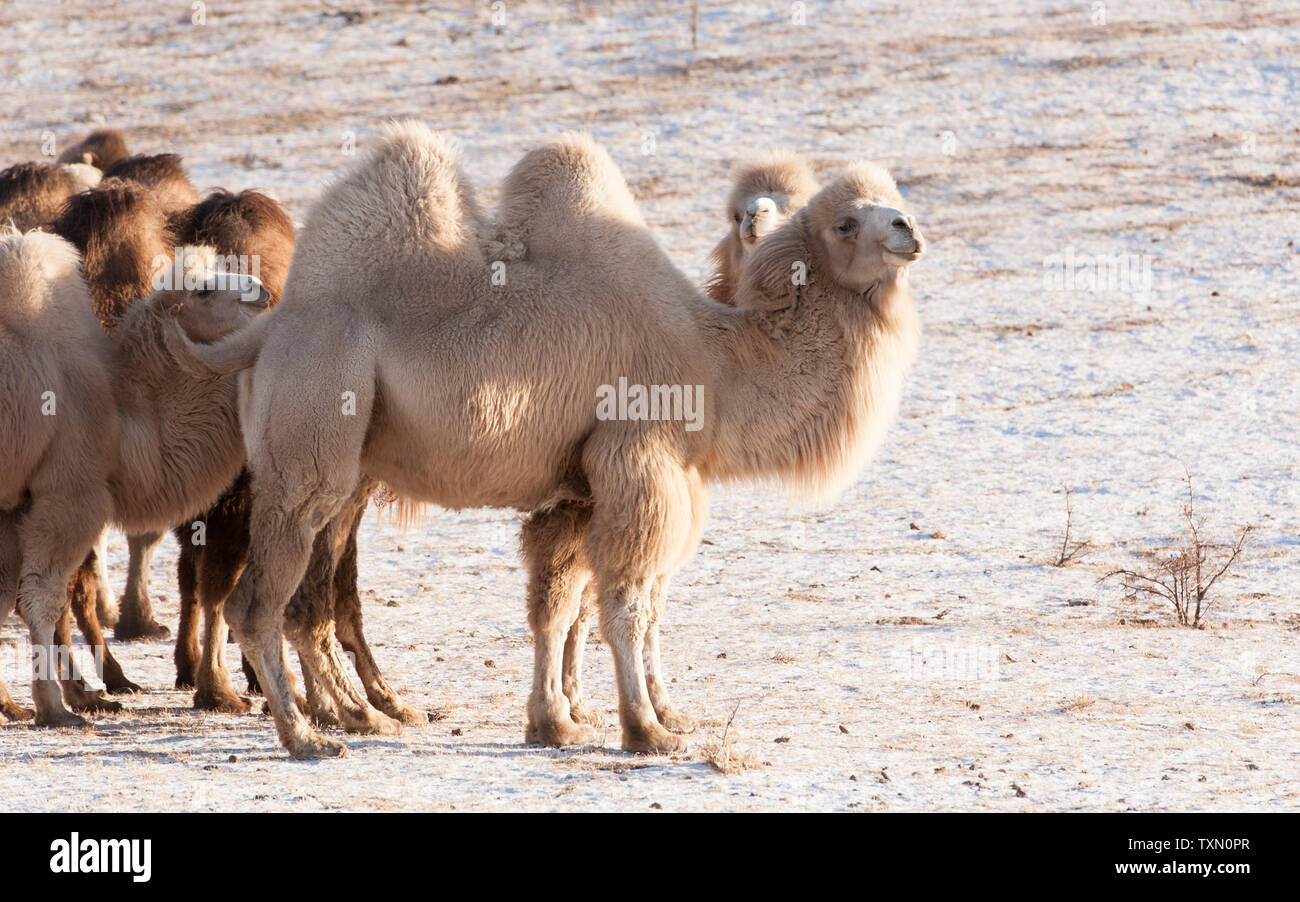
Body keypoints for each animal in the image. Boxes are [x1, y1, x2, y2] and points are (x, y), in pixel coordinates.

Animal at [0, 232, 271, 725]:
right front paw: (55, 709)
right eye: (203, 291)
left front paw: (14, 704)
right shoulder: (69, 495)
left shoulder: (15, 504)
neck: (122, 414)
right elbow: (41, 597)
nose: (260, 288)